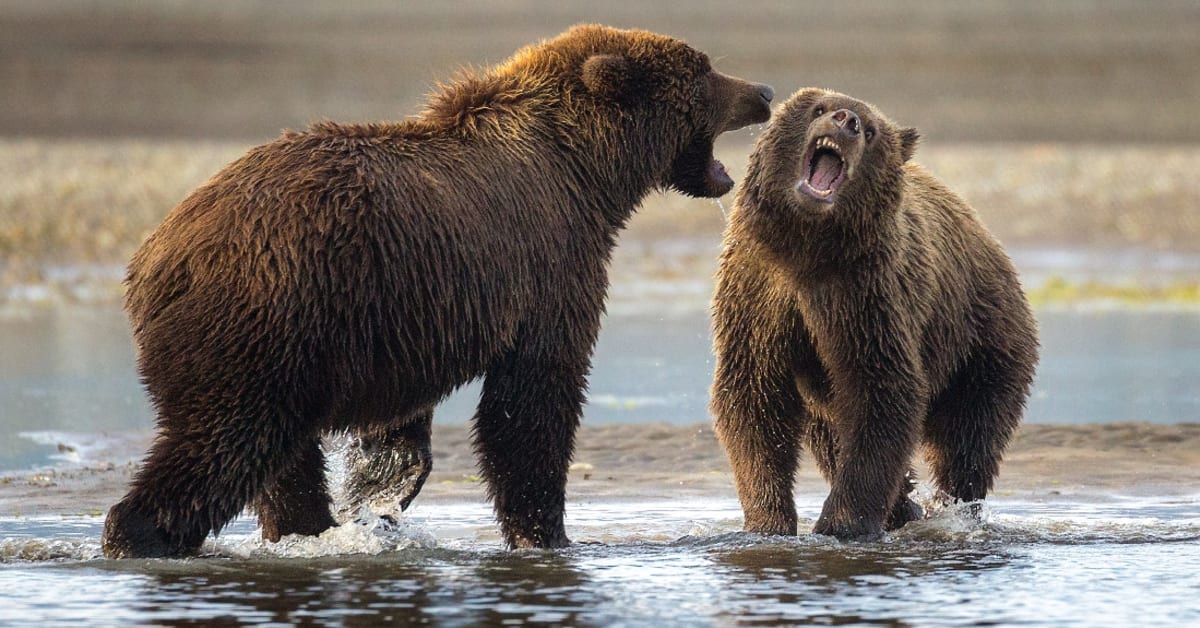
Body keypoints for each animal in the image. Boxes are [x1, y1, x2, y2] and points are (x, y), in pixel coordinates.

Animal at [101, 24, 774, 558]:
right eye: (704, 71)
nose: (763, 92)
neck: (585, 171)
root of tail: (157, 259)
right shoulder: (549, 263)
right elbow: (532, 399)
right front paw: (548, 534)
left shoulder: (406, 310)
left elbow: (406, 419)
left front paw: (377, 490)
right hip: (265, 319)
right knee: (226, 440)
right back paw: (137, 533)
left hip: (296, 341)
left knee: (281, 456)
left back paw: (306, 530)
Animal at [710, 88, 1038, 541]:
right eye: (819, 109)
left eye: (870, 130)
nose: (846, 120)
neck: (806, 247)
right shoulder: (759, 293)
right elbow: (754, 396)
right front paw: (768, 522)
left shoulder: (865, 296)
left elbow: (881, 391)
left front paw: (842, 523)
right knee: (830, 435)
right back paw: (906, 506)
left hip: (981, 338)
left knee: (969, 436)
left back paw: (952, 508)